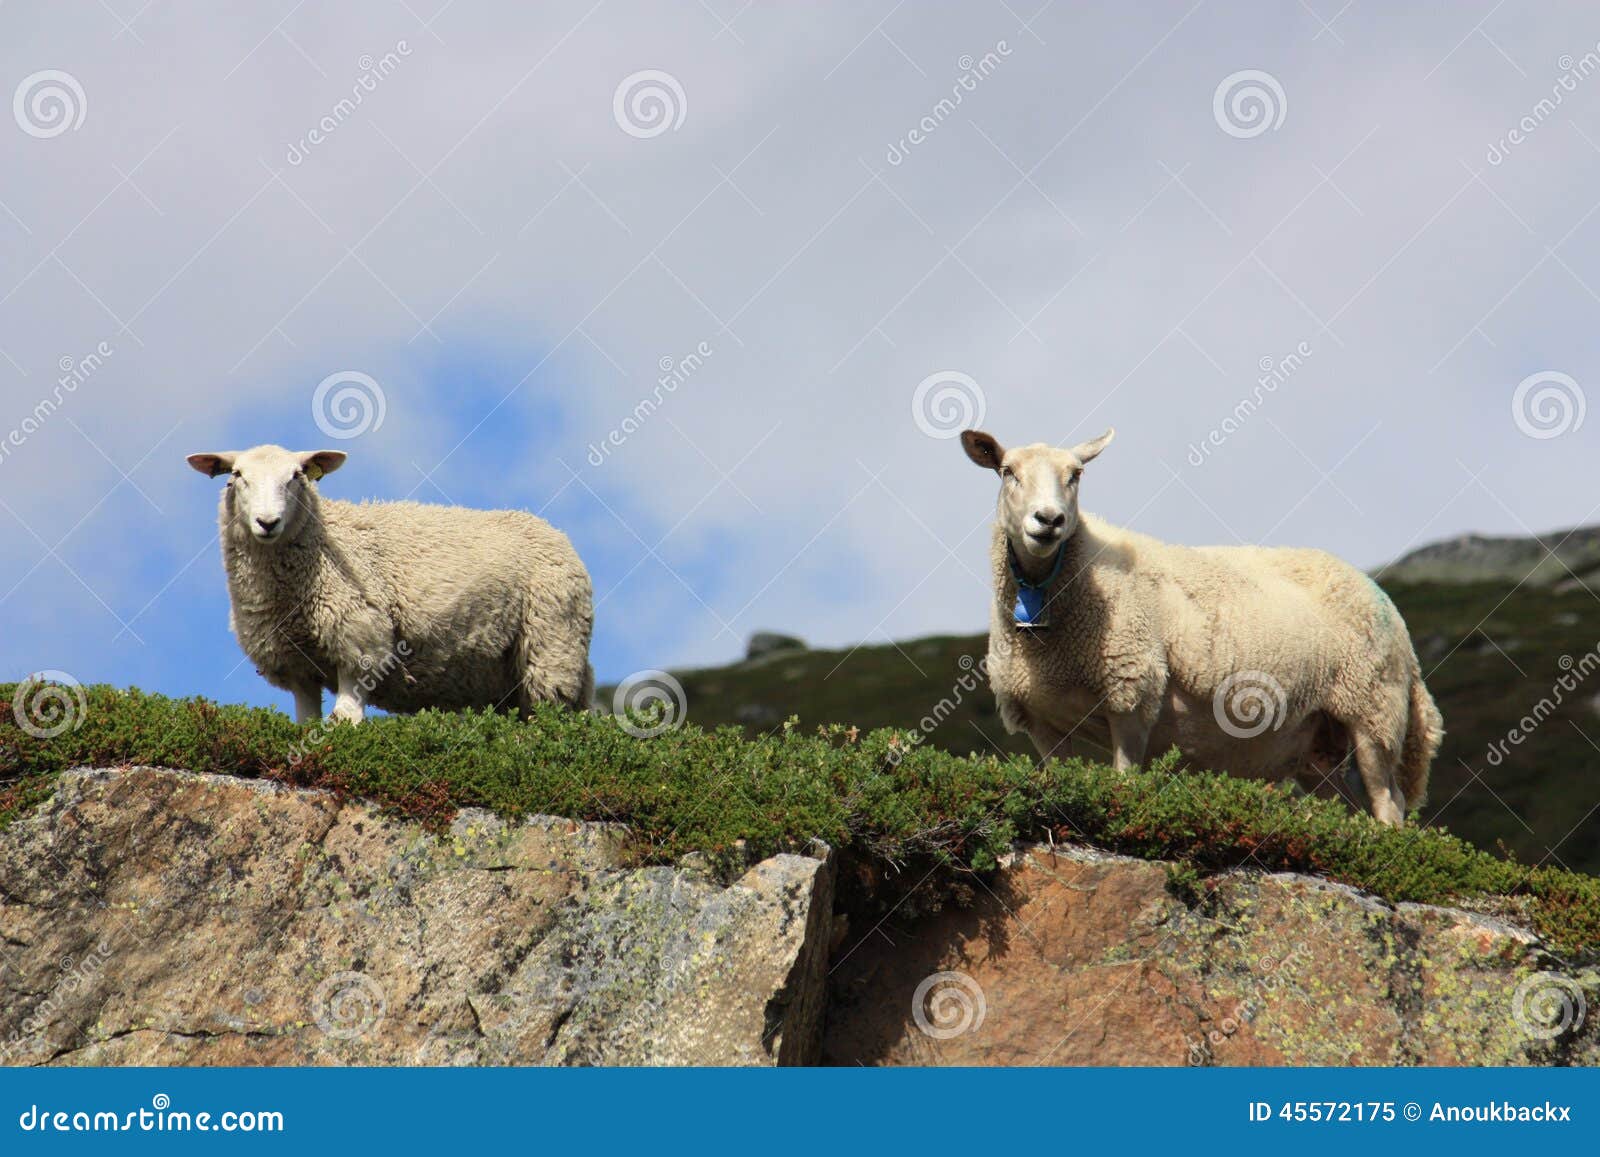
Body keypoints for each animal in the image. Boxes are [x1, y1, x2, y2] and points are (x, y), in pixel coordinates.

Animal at [186, 444, 594, 724]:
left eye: (297, 476)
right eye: (237, 476)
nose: (267, 522)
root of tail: (551, 530)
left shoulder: (359, 635)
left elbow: (345, 718)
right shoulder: (296, 661)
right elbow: (306, 722)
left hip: (552, 644)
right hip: (502, 670)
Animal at [960, 427, 1442, 826]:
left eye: (1076, 474)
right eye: (1007, 471)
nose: (1049, 520)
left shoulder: (1134, 691)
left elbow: (1124, 781)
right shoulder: (1042, 719)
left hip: (1373, 710)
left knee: (1389, 804)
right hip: (1318, 741)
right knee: (1346, 806)